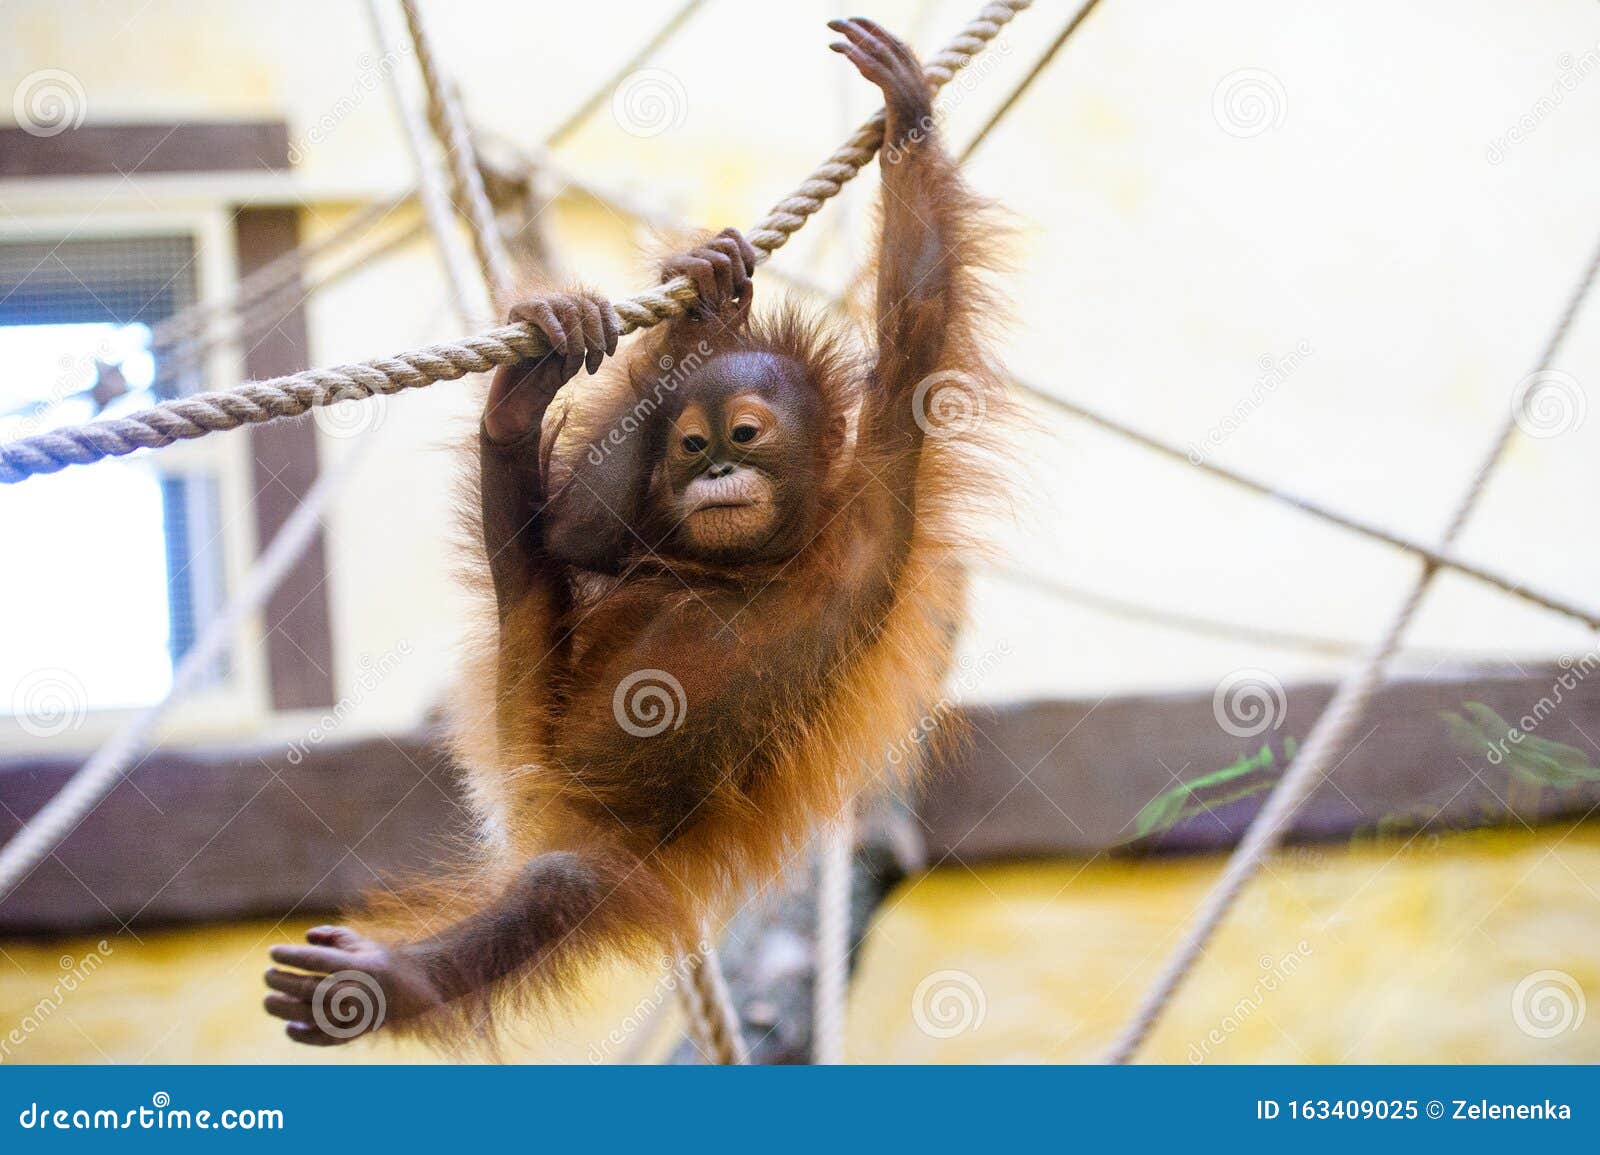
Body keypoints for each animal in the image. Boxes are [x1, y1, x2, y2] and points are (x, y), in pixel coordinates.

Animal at [262, 17, 1008, 1049]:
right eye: (691, 444)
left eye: (744, 436)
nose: (714, 473)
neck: (766, 561)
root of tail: (531, 786)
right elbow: (584, 531)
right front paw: (706, 306)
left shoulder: (886, 483)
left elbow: (919, 325)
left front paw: (908, 112)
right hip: (527, 693)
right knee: (528, 562)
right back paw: (517, 406)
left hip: (602, 829)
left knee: (555, 892)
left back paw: (388, 983)